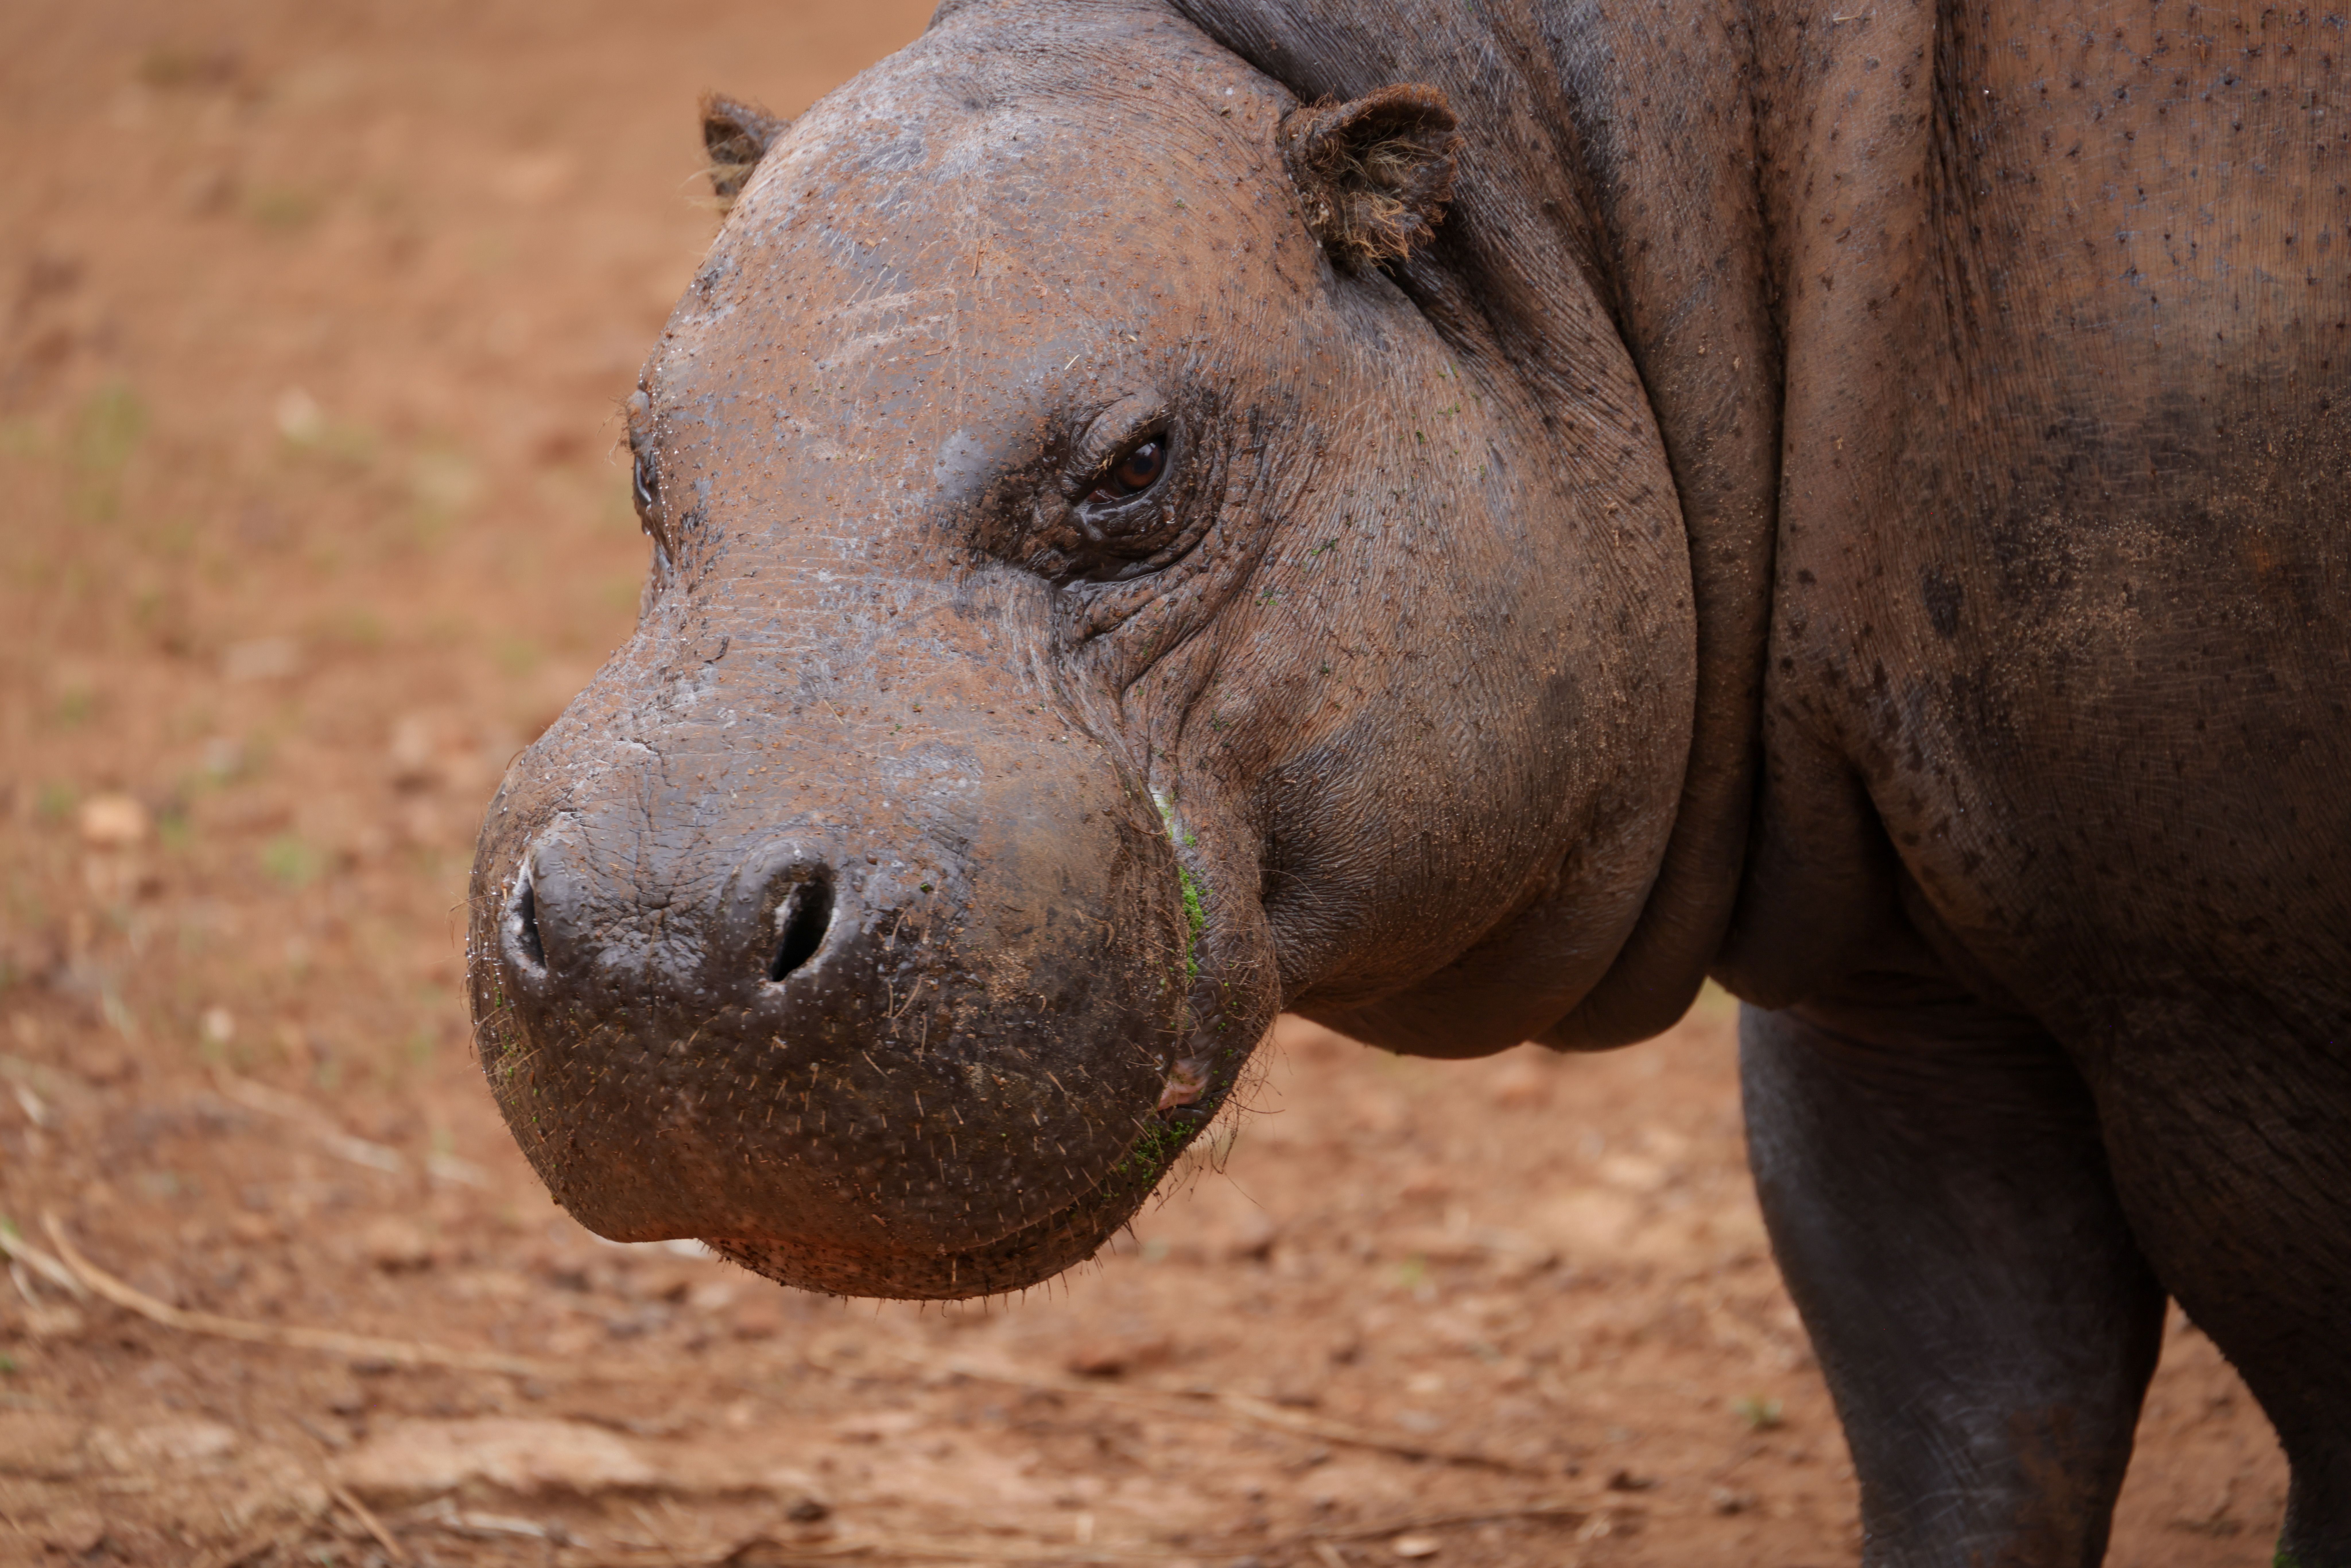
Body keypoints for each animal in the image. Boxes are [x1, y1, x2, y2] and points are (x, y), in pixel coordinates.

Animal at [468, 0, 2351, 1560]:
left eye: (1136, 464)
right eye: (642, 452)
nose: (657, 934)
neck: (1585, 224)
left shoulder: (2232, 1018)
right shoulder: (1886, 996)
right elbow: (1971, 1406)